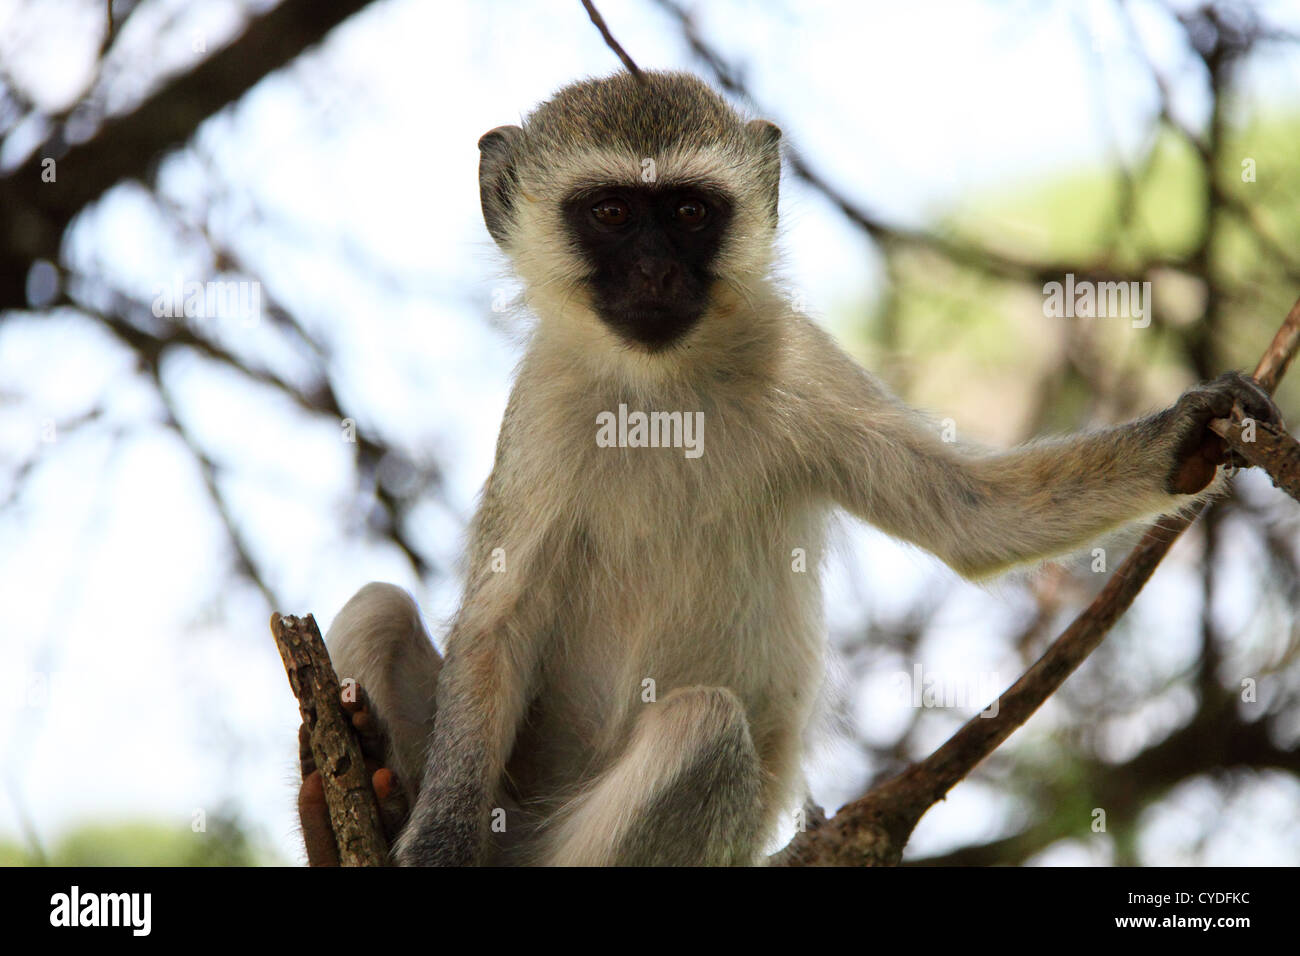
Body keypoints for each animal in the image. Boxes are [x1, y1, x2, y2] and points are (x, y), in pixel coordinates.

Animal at [299, 70, 1281, 867]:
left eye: (689, 212)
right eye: (612, 212)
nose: (655, 273)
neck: (662, 391)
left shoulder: (800, 361)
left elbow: (972, 515)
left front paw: (1187, 440)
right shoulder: (542, 409)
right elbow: (497, 624)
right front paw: (435, 841)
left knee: (703, 723)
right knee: (380, 605)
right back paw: (361, 796)